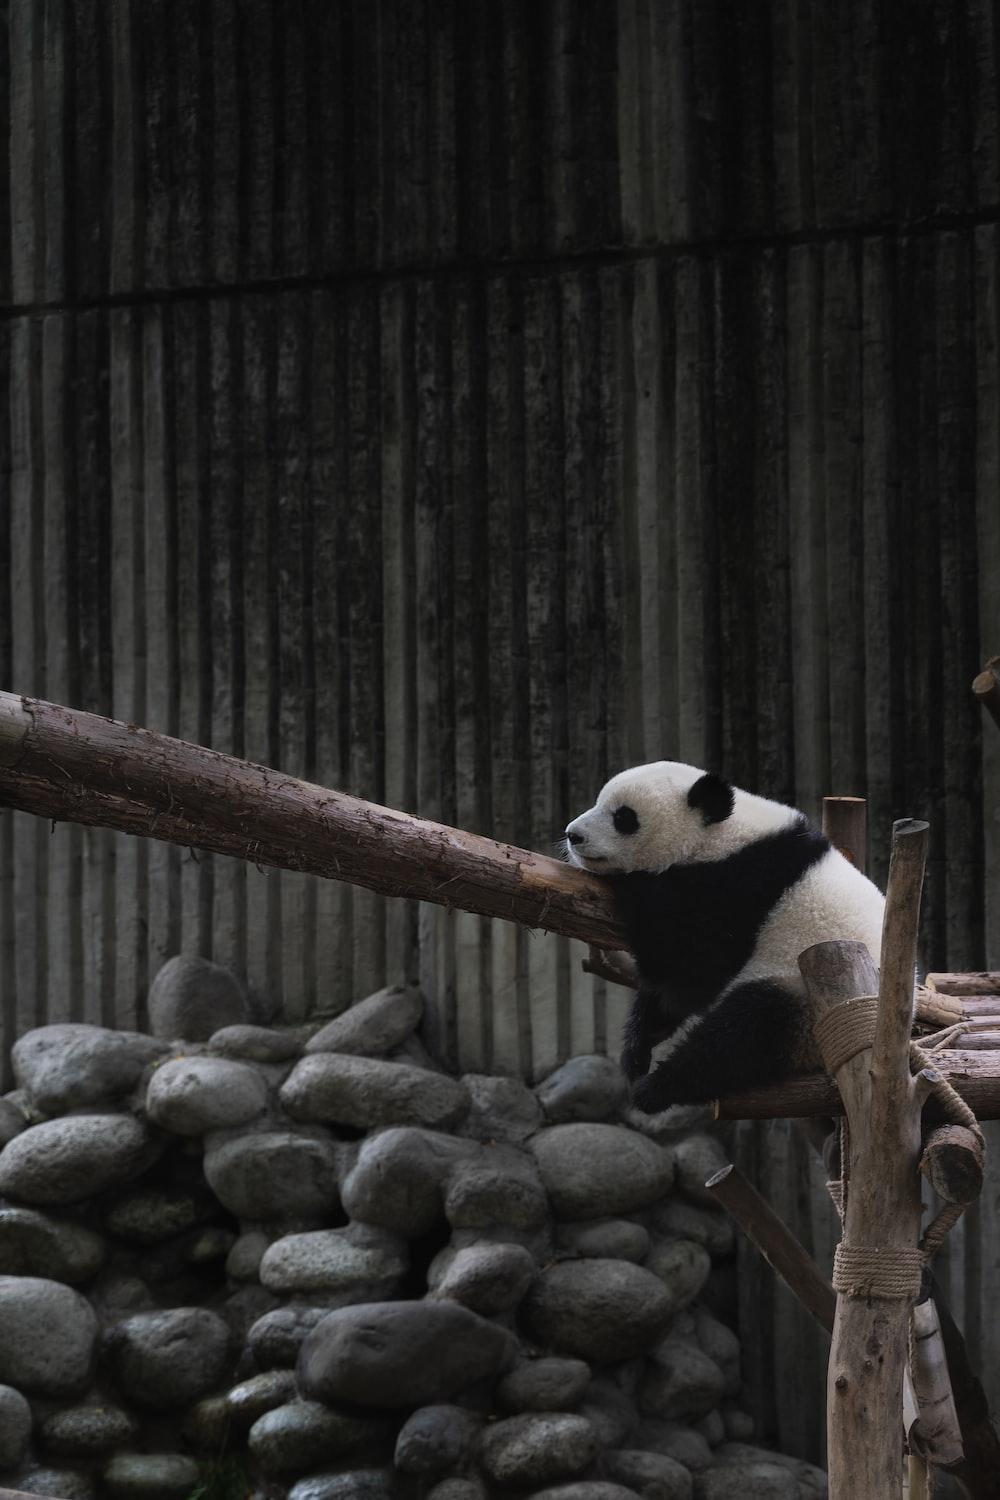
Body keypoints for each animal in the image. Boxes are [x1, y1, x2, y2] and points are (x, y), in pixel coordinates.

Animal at [564, 760, 885, 1110]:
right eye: (598, 801)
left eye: (623, 817)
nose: (573, 835)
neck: (723, 835)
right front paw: (638, 1047)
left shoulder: (743, 888)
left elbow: (689, 967)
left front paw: (634, 884)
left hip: (799, 992)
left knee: (744, 1033)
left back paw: (657, 1088)